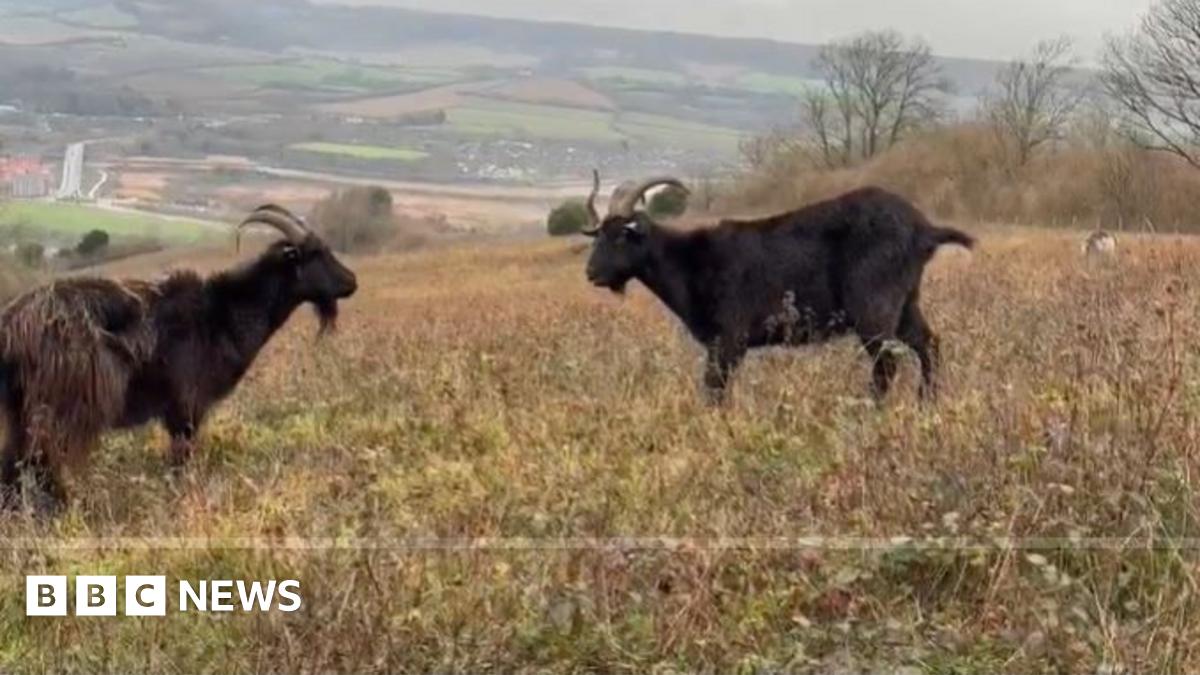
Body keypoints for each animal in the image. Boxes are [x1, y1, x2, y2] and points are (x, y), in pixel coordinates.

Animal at [0, 205, 357, 508]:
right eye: (316, 254)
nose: (352, 282)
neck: (222, 314)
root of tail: (13, 324)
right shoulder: (187, 408)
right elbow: (180, 463)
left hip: (20, 408)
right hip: (55, 408)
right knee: (38, 459)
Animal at [581, 171, 974, 403]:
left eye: (621, 236)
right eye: (598, 235)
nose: (591, 273)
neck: (690, 259)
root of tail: (923, 228)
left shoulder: (728, 340)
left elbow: (714, 389)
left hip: (874, 307)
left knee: (887, 362)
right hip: (906, 302)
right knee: (928, 344)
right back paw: (926, 403)